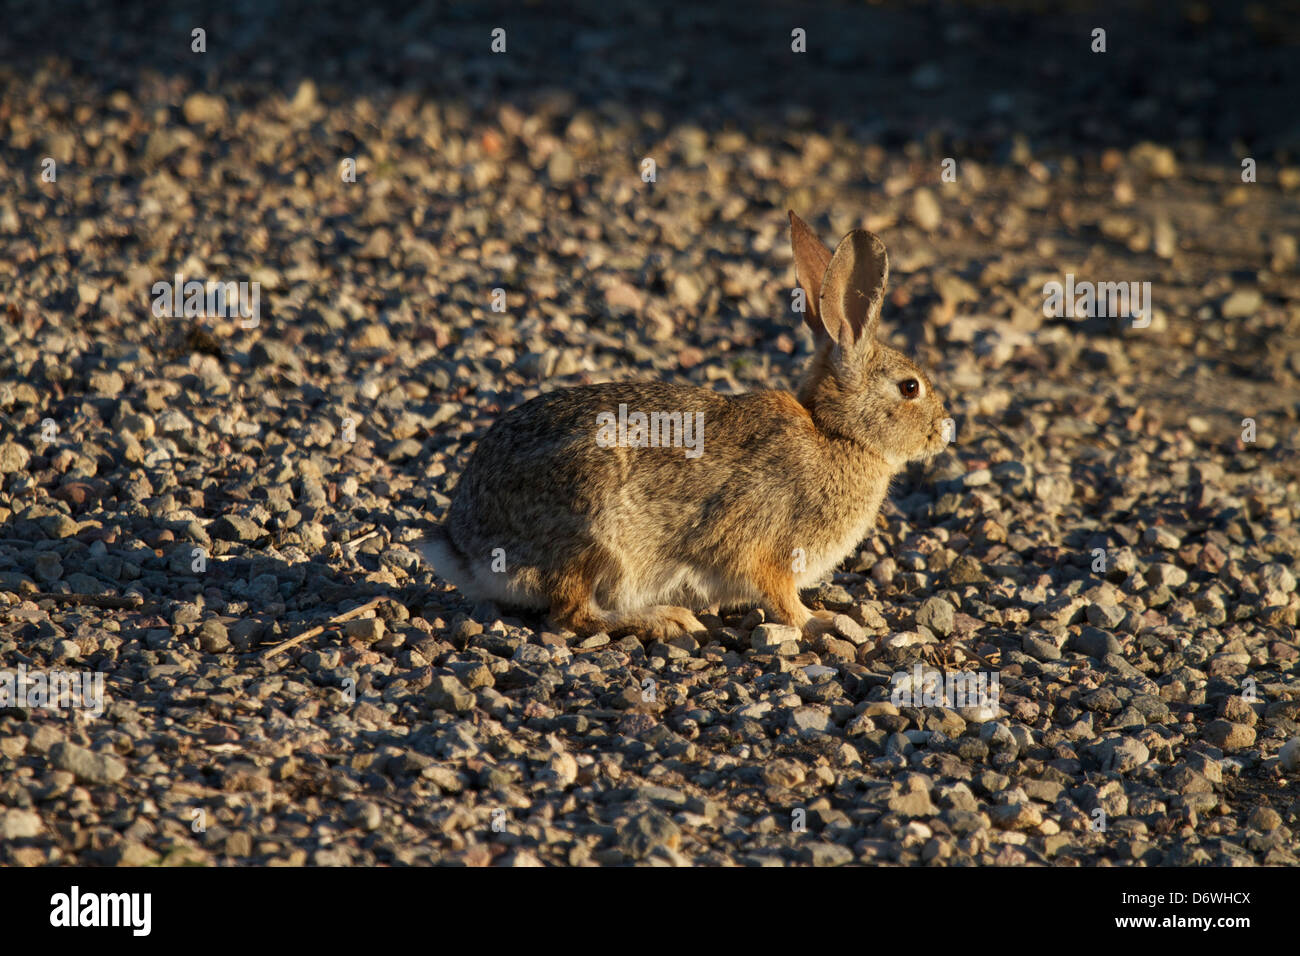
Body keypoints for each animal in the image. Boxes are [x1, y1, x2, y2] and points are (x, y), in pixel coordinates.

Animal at [416, 211, 948, 641]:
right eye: (910, 388)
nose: (946, 429)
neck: (836, 433)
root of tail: (464, 546)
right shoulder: (767, 548)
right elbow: (781, 597)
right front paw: (821, 622)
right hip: (595, 533)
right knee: (571, 614)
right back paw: (666, 619)